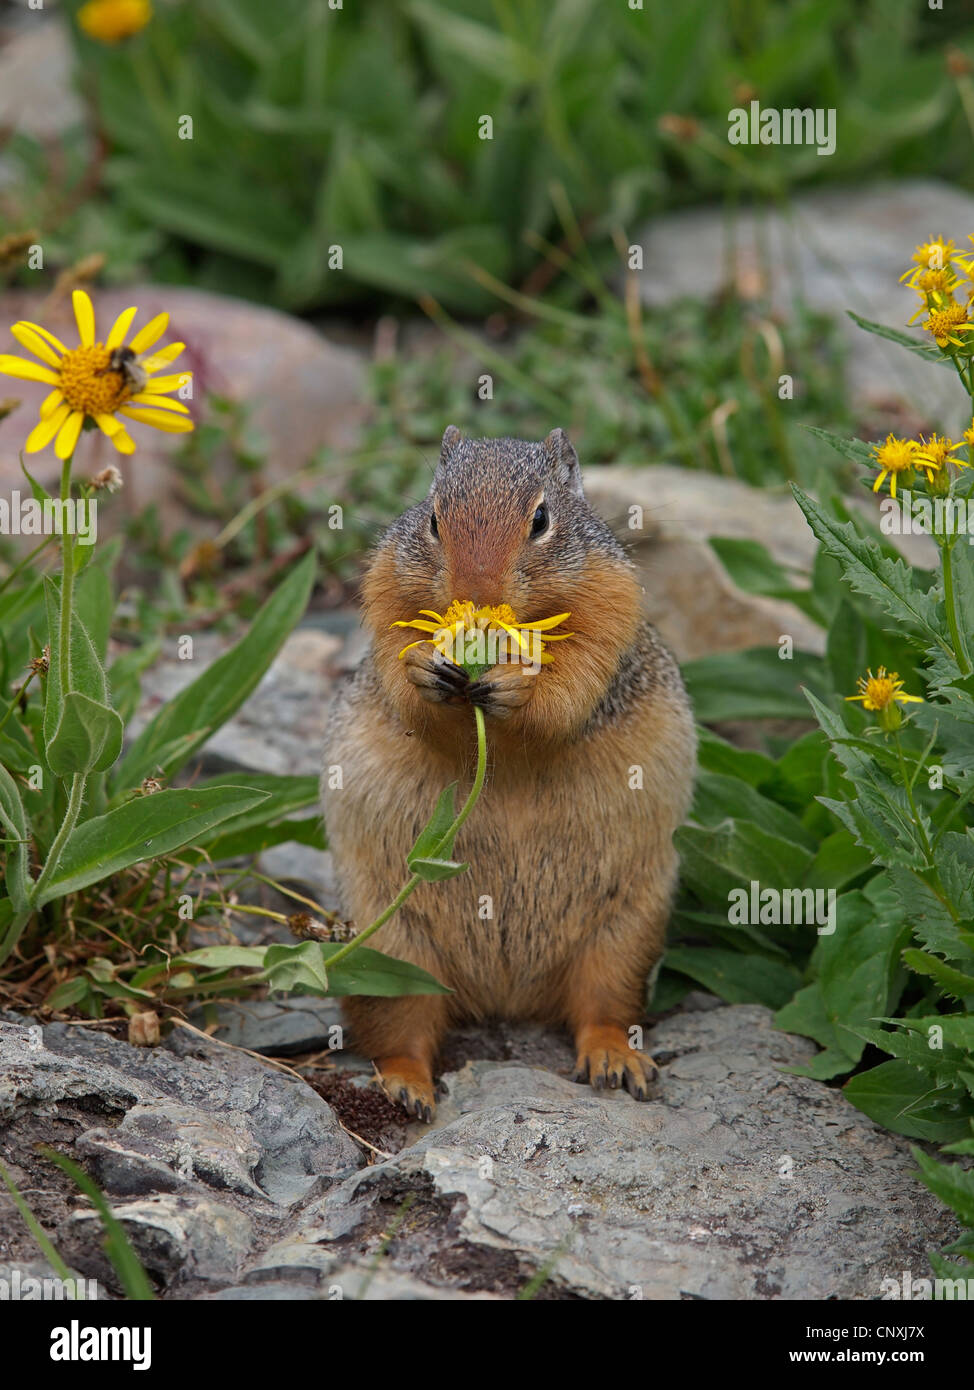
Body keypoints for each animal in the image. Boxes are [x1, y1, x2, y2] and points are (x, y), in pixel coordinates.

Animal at [321, 426, 696, 1122]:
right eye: (434, 517)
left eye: (542, 520)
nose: (479, 591)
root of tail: (506, 998)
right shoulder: (386, 588)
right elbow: (403, 681)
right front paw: (423, 665)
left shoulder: (611, 605)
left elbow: (573, 684)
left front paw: (521, 680)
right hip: (389, 949)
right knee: (404, 1029)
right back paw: (405, 1087)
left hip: (625, 931)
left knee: (601, 1007)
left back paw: (615, 1061)